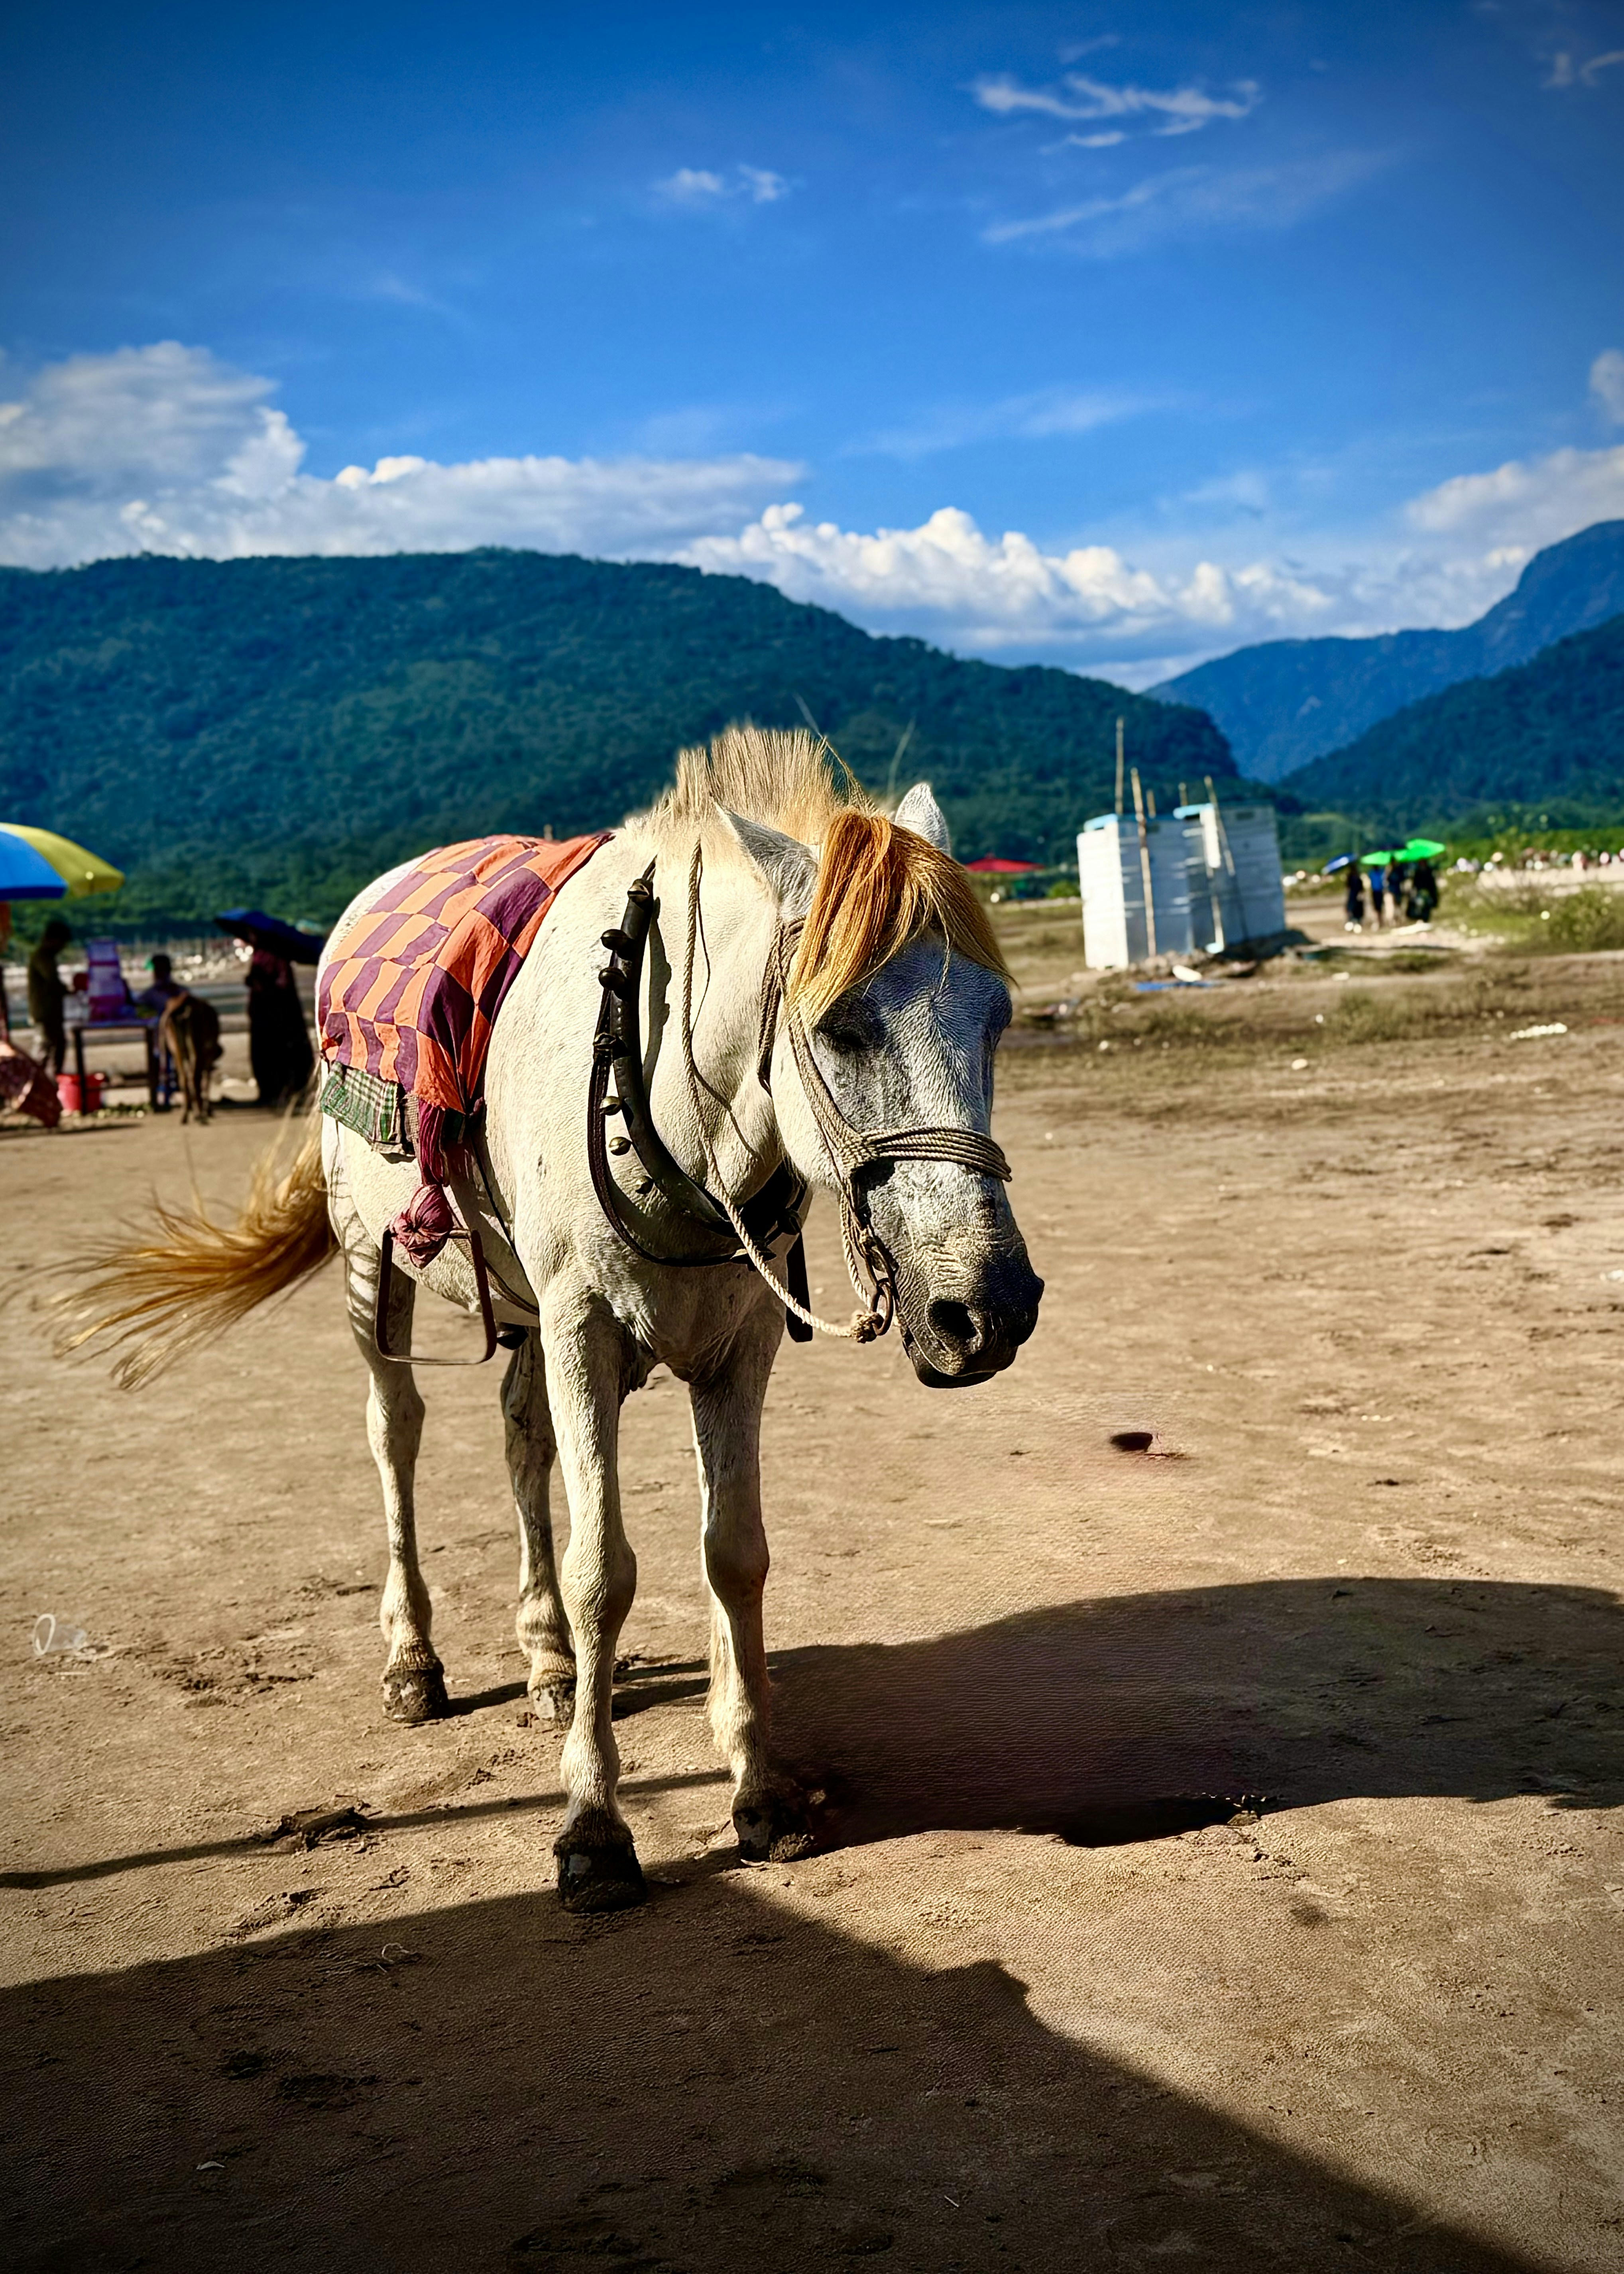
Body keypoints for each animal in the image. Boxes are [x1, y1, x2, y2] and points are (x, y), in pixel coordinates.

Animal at [62, 728, 1042, 1911]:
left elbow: (736, 1554)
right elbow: (602, 1570)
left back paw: (546, 1660)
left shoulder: (736, 1349)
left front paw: (757, 1792)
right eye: (842, 1030)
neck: (663, 1097)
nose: (989, 1308)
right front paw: (593, 1828)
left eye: (995, 1020)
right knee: (396, 1434)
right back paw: (415, 1662)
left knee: (519, 1437)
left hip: (524, 1311)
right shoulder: (583, 1329)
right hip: (371, 1265)